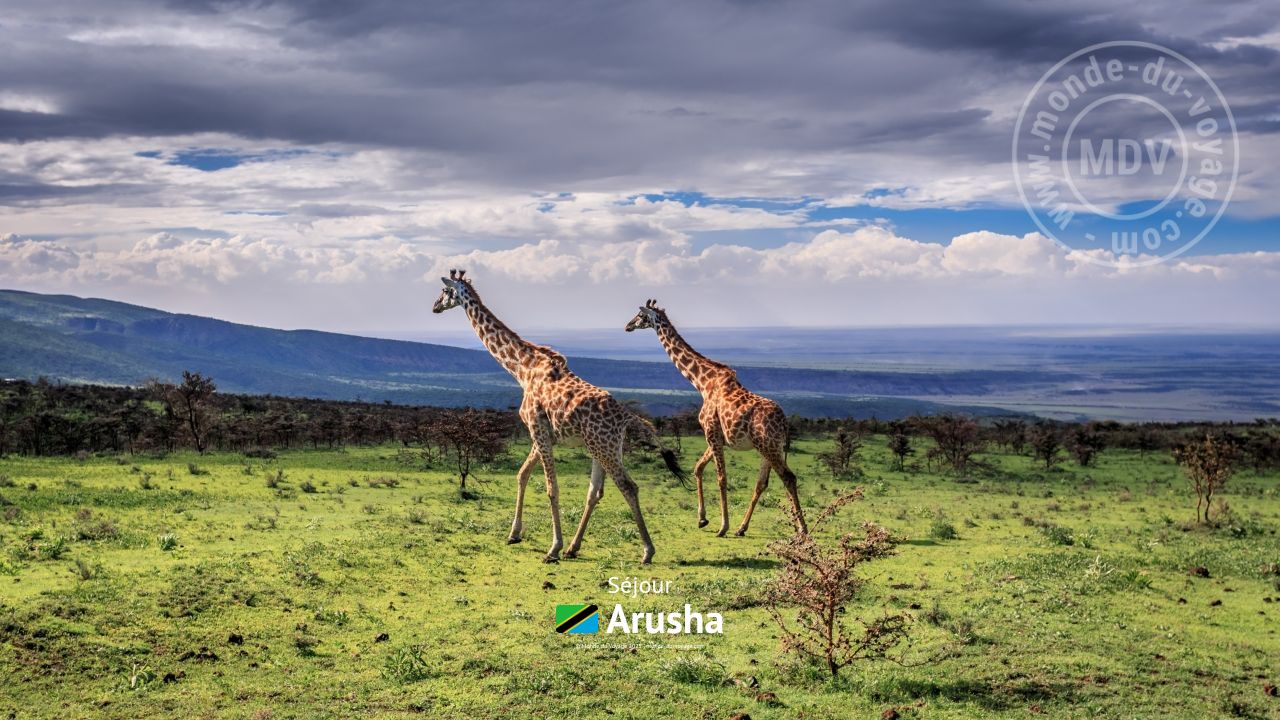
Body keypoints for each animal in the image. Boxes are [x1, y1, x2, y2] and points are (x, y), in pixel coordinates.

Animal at [432, 269, 691, 561]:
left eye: (444, 291)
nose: (435, 307)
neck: (522, 369)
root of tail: (626, 416)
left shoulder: (537, 429)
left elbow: (551, 488)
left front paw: (552, 548)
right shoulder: (543, 434)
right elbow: (522, 475)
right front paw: (514, 534)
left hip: (604, 448)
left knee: (628, 486)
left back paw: (646, 551)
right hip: (603, 447)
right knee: (595, 492)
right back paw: (573, 547)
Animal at [622, 299, 808, 535]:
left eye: (639, 315)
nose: (627, 326)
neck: (702, 382)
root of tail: (784, 423)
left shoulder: (711, 432)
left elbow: (721, 478)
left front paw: (722, 526)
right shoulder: (718, 437)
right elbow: (698, 468)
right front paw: (702, 519)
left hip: (769, 446)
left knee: (788, 477)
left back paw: (802, 529)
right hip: (768, 448)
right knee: (762, 483)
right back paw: (742, 528)